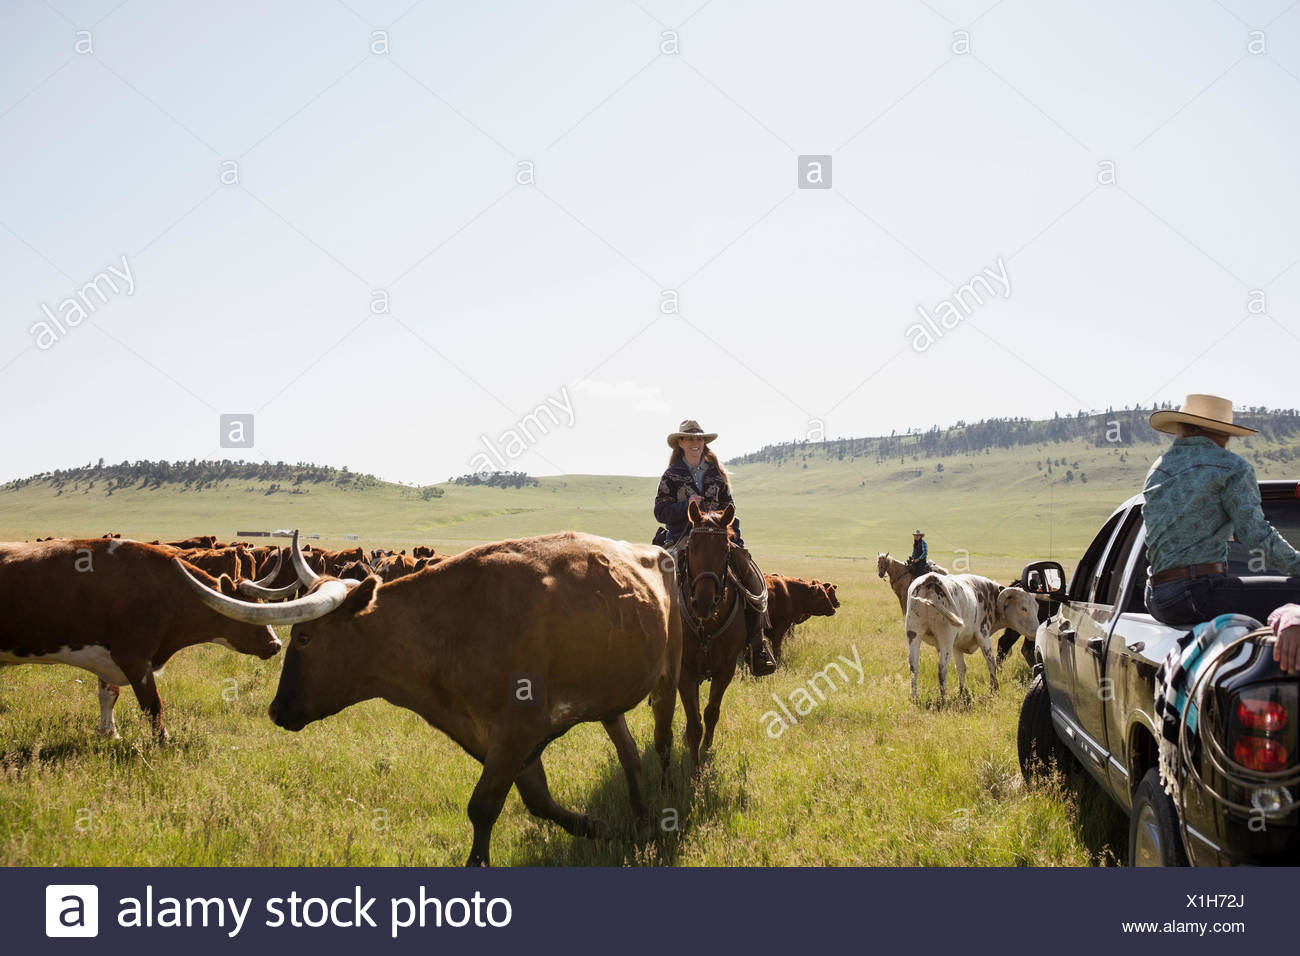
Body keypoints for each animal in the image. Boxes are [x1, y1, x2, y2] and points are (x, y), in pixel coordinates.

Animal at [0, 539, 282, 739]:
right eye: (250, 612)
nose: (276, 645)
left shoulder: (107, 658)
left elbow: (109, 695)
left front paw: (110, 734)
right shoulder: (133, 659)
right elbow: (153, 705)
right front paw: (163, 742)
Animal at [178, 530, 681, 867]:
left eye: (302, 637)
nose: (276, 710)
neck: (451, 626)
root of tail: (657, 553)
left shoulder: (517, 733)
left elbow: (483, 807)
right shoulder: (502, 741)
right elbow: (538, 801)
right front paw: (596, 828)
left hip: (668, 681)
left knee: (661, 741)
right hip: (611, 702)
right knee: (628, 753)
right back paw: (638, 823)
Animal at [904, 572, 1043, 702]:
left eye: (1037, 607)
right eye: (1023, 608)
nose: (1037, 631)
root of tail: (930, 579)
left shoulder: (956, 646)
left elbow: (961, 668)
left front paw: (962, 692)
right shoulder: (983, 635)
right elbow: (991, 662)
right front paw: (994, 690)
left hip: (914, 635)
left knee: (913, 667)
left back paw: (914, 697)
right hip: (945, 639)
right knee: (942, 668)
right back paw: (944, 698)